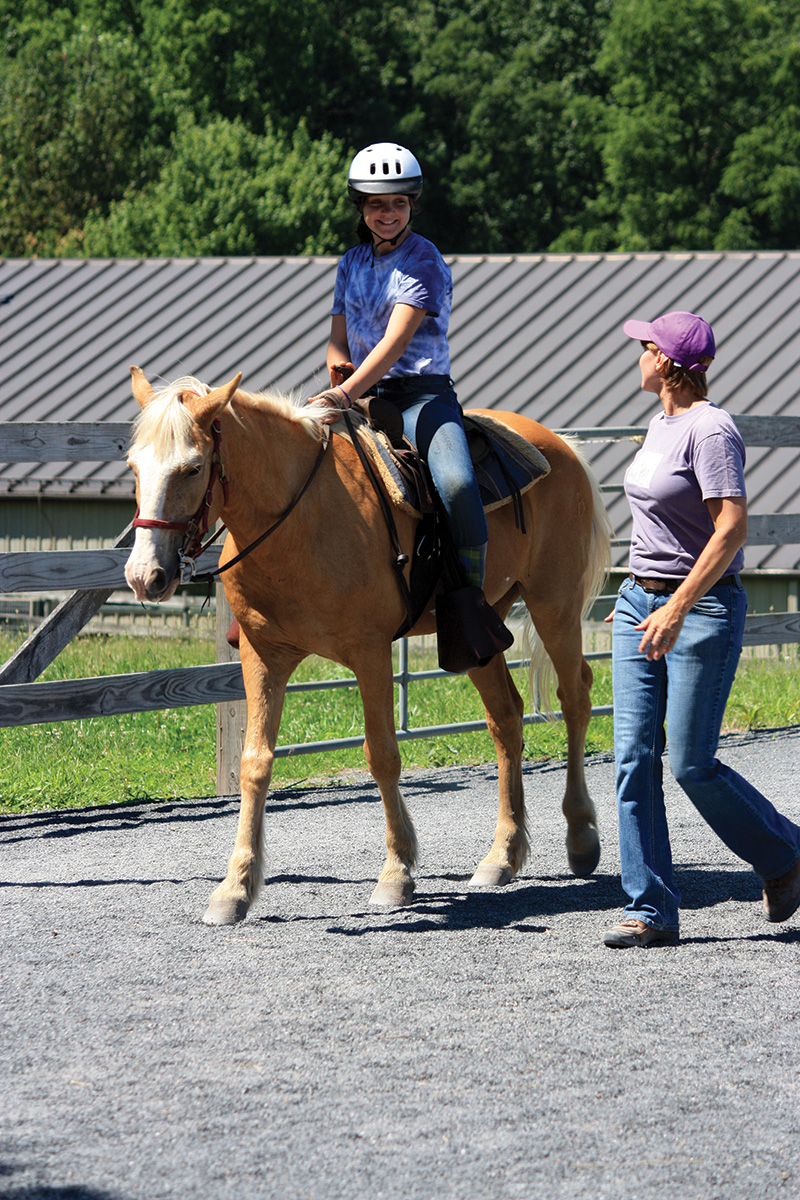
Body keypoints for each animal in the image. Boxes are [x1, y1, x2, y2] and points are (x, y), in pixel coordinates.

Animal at [124, 367, 612, 926]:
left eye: (193, 467)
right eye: (134, 466)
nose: (143, 576)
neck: (301, 520)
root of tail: (563, 447)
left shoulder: (370, 652)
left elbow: (381, 754)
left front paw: (396, 874)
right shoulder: (262, 655)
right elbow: (255, 762)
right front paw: (235, 888)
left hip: (555, 604)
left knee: (575, 699)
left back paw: (581, 837)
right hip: (476, 632)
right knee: (506, 718)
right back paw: (501, 858)